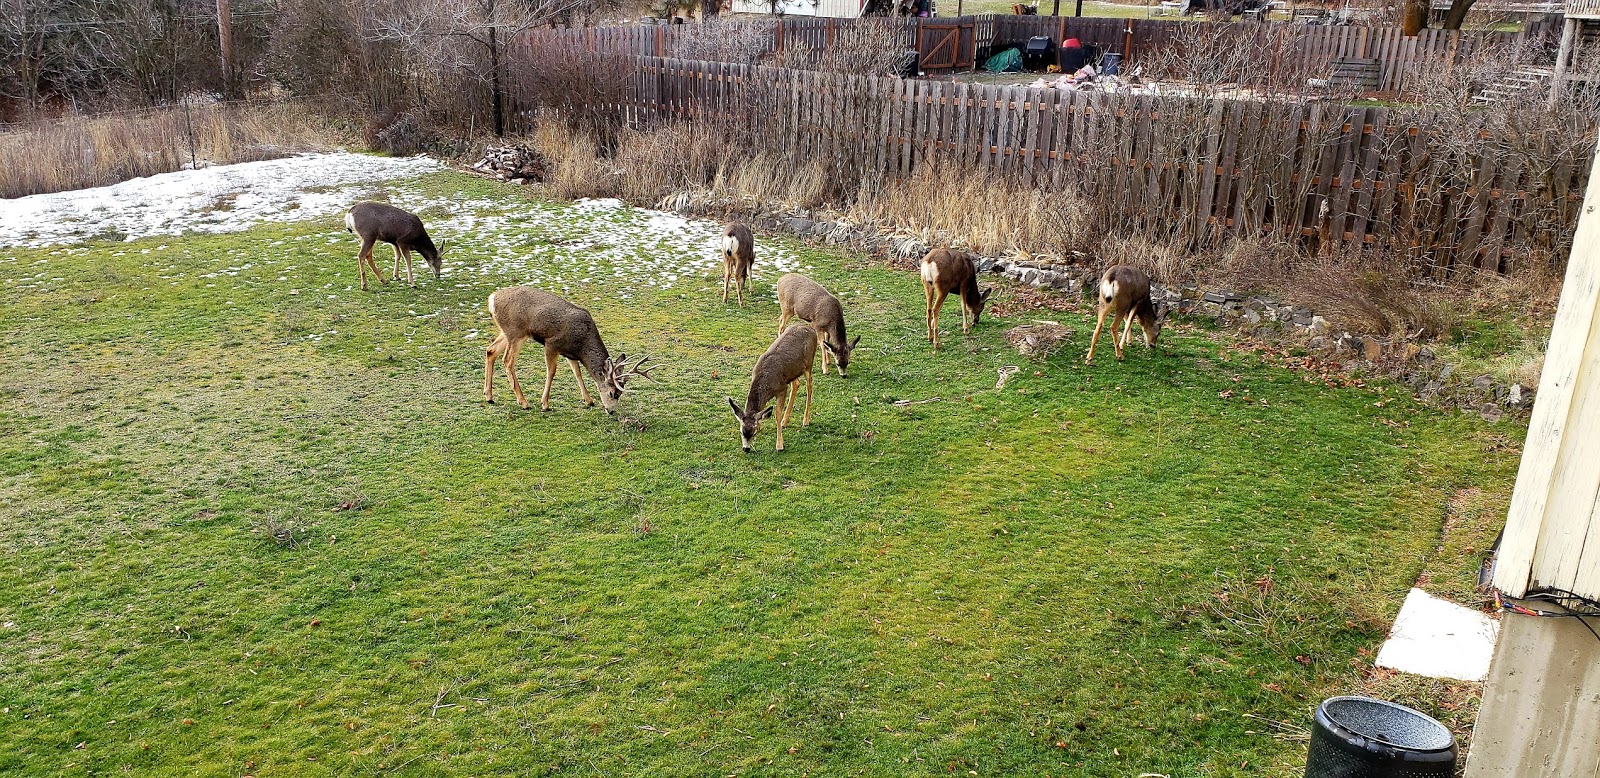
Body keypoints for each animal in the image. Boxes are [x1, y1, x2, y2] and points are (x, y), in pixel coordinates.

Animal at [482, 286, 654, 413]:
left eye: (620, 394)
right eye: (612, 393)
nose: (611, 411)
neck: (582, 343)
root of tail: (492, 299)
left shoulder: (570, 353)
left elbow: (577, 373)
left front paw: (589, 400)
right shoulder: (552, 344)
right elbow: (551, 372)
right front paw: (545, 404)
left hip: (507, 332)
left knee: (490, 350)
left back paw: (489, 396)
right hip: (516, 332)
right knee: (507, 361)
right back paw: (524, 402)